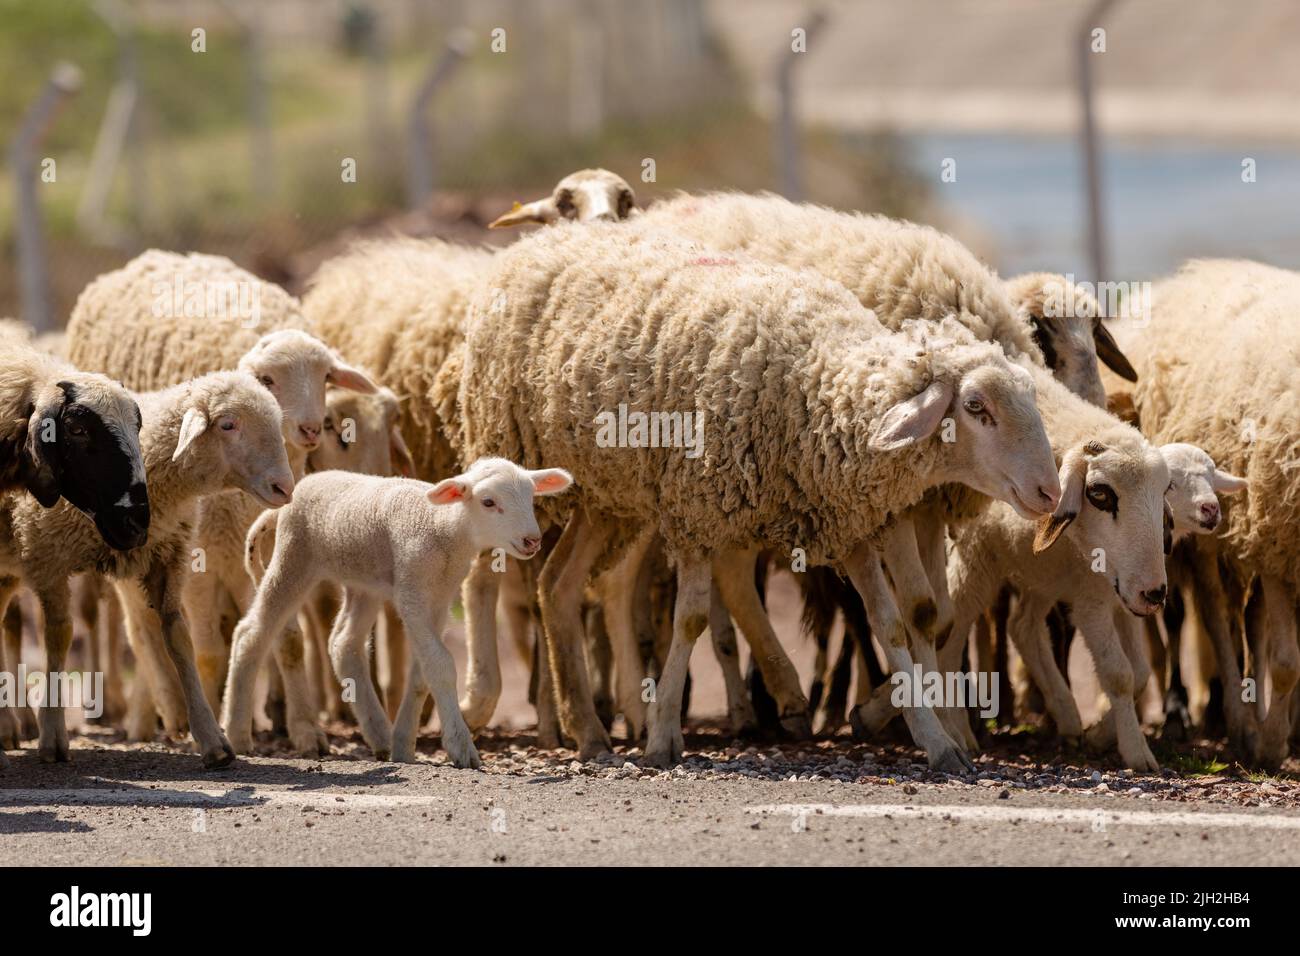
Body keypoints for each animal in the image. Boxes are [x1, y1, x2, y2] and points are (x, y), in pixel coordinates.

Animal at [0, 370, 294, 767]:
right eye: (228, 424)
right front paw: (52, 737)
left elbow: (178, 637)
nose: (285, 487)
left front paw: (210, 737)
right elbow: (60, 636)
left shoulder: (168, 556)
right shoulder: (47, 556)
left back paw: (8, 726)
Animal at [65, 250, 377, 751]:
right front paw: (212, 721)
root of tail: (148, 257)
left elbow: (286, 638)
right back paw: (158, 714)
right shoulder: (200, 561)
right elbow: (207, 651)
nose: (311, 428)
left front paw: (304, 729)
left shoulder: (257, 554)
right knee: (141, 628)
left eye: (327, 376)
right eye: (268, 379)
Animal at [223, 459, 574, 765]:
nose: (532, 541)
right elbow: (441, 664)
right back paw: (238, 734)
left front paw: (404, 746)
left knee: (344, 644)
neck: (443, 528)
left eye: (530, 497)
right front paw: (461, 747)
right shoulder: (412, 591)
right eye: (488, 502)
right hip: (295, 556)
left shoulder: (440, 597)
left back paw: (380, 736)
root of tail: (301, 486)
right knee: (251, 633)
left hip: (363, 581)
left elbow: (422, 673)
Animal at [458, 220, 1060, 769]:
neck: (821, 386)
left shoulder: (852, 522)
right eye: (977, 407)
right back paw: (489, 706)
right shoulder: (697, 512)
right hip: (511, 463)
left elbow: (893, 625)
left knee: (557, 585)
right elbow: (691, 621)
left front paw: (936, 741)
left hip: (604, 496)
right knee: (487, 575)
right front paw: (661, 737)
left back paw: (589, 732)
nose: (1049, 492)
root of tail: (544, 237)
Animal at [1117, 259, 1300, 766]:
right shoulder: (1276, 546)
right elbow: (1286, 663)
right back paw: (1232, 721)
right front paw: (1271, 745)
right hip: (1202, 548)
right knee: (1214, 619)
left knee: (1242, 621)